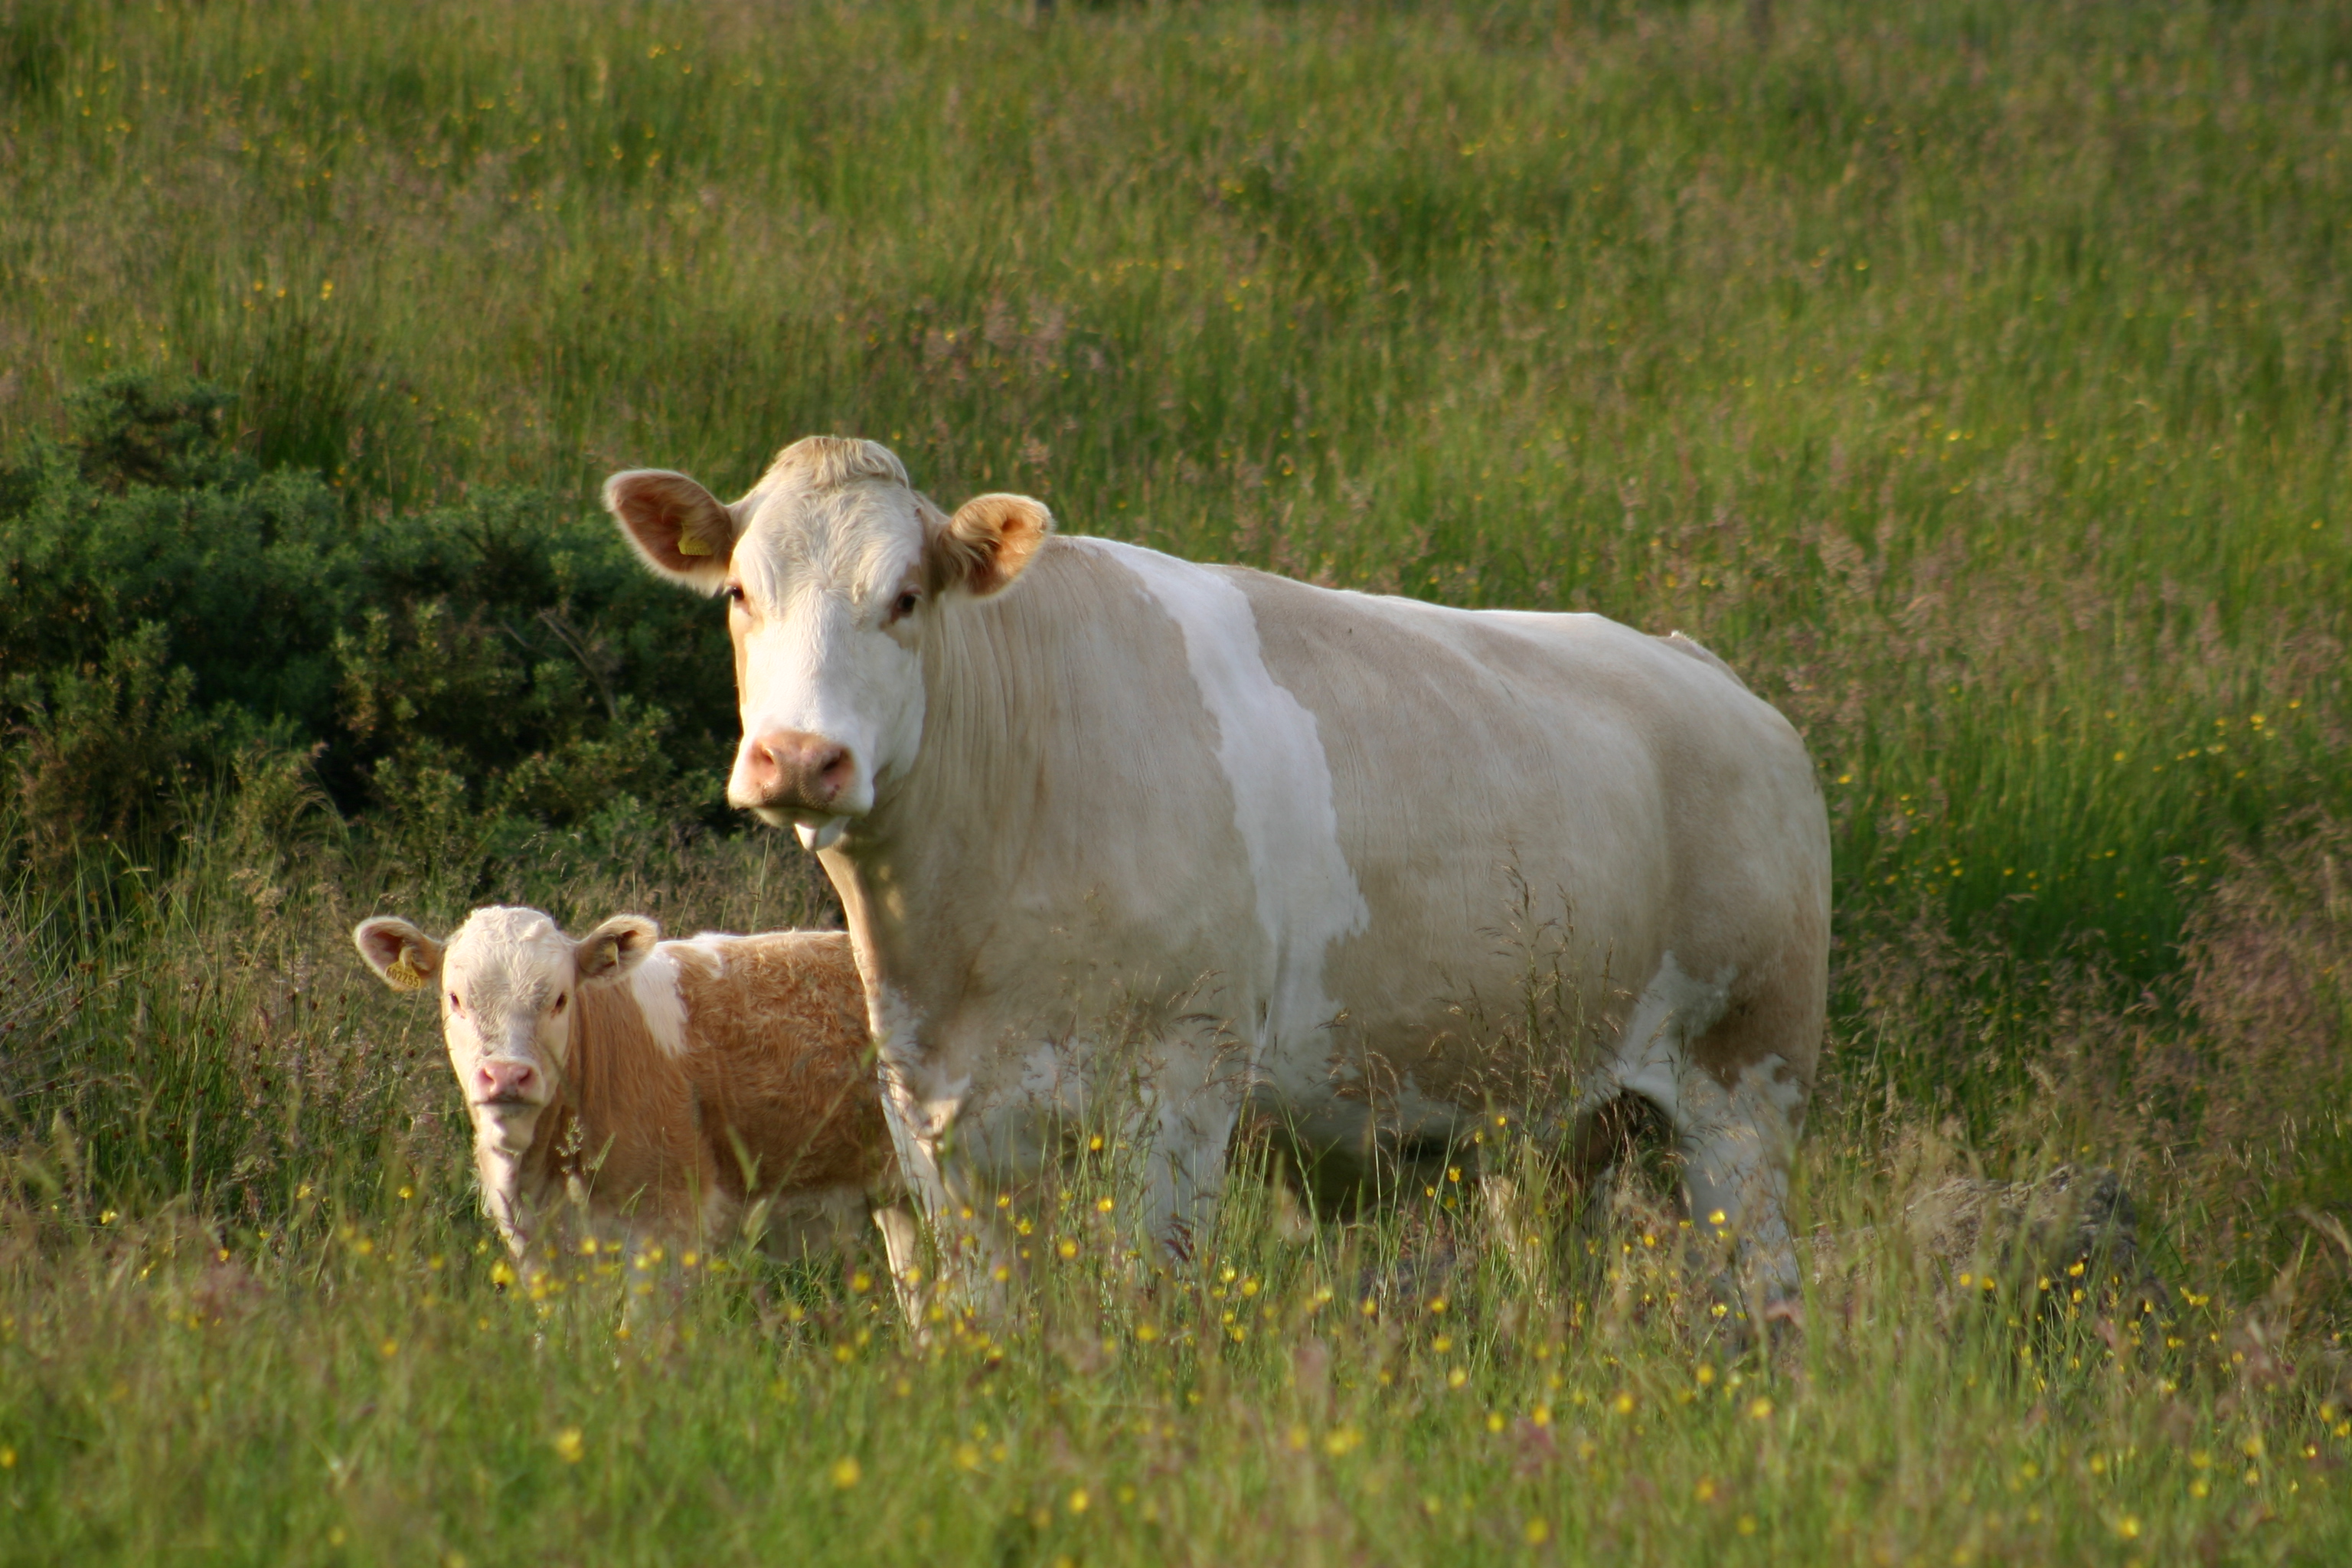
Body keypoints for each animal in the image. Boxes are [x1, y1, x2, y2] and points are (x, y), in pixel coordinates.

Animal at [603, 437, 1831, 1319]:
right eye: (739, 595)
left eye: (906, 597)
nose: (801, 757)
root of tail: (1716, 677)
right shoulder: (933, 1108)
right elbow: (987, 1315)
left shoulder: (1181, 1079)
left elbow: (1147, 1298)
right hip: (1549, 1120)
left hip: (1745, 1084)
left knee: (1761, 1295)